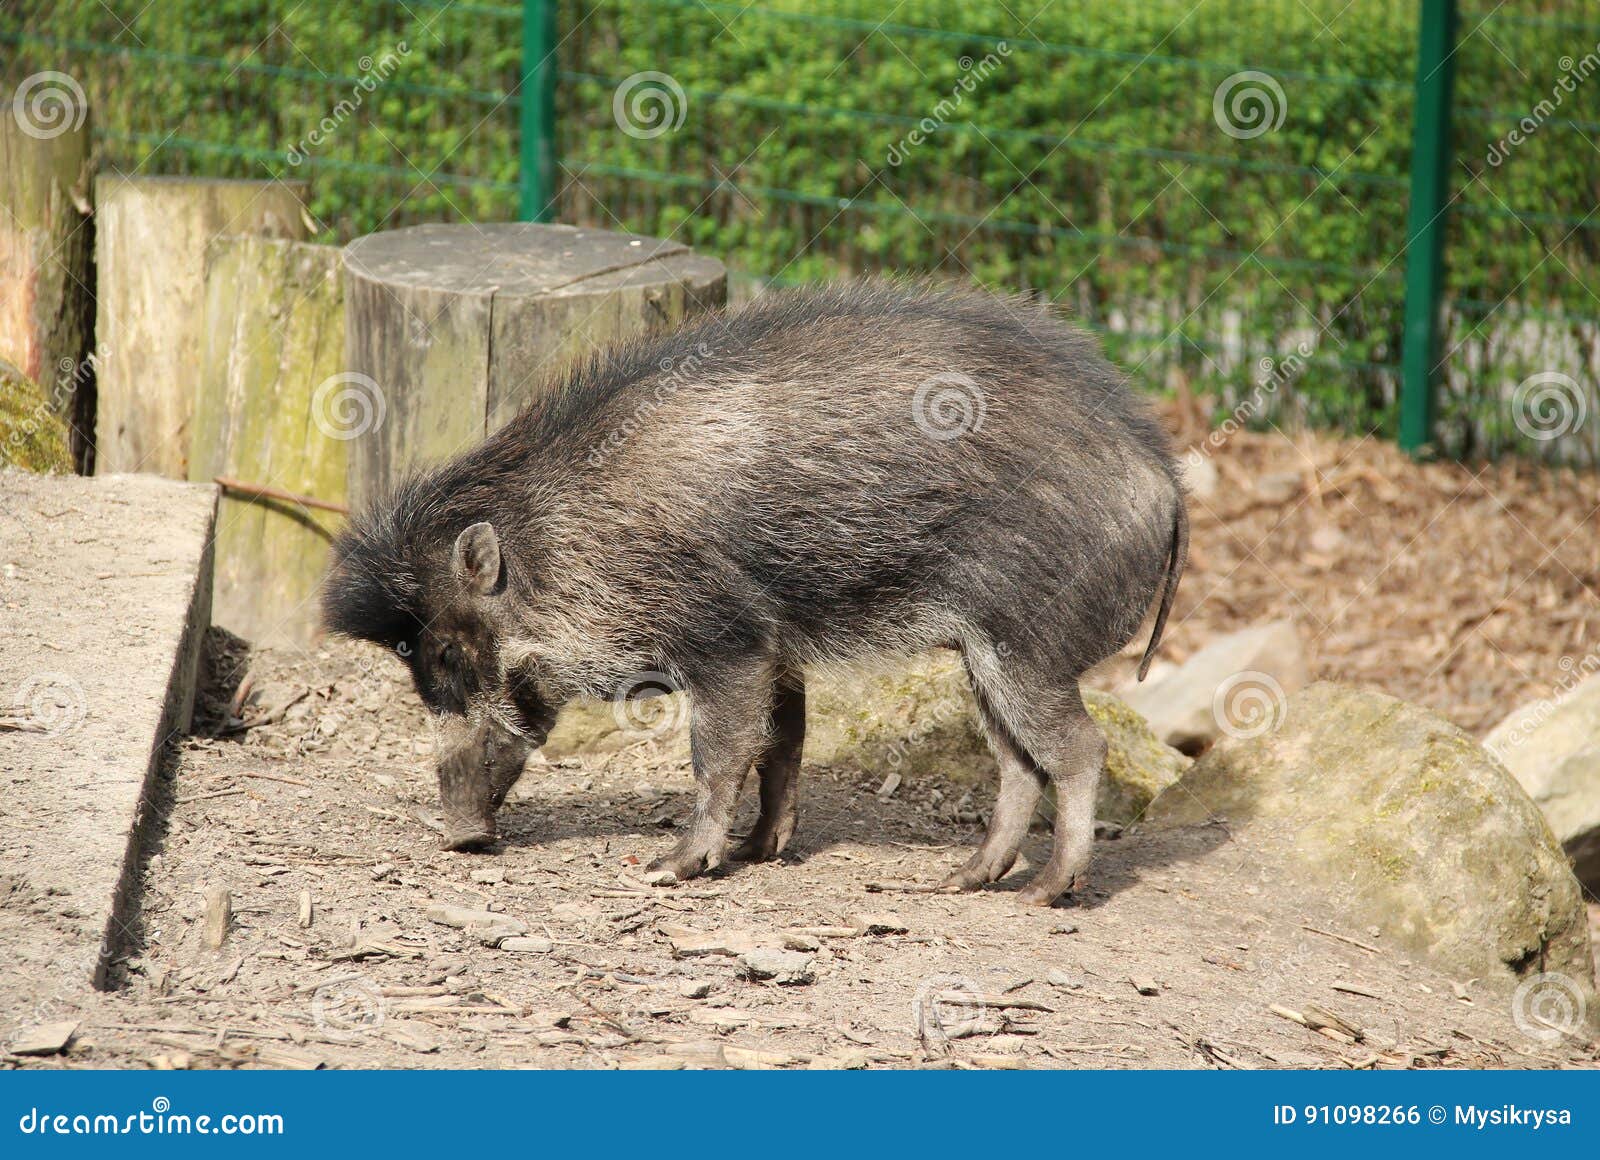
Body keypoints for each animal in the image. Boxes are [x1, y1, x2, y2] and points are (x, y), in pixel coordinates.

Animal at [321, 281, 1187, 905]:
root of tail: (1163, 476)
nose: (460, 836)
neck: (581, 538)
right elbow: (783, 743)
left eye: (446, 650)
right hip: (982, 657)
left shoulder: (726, 640)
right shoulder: (780, 650)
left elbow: (723, 751)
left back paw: (1048, 893)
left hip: (1026, 641)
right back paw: (959, 881)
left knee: (1077, 749)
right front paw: (757, 852)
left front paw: (673, 868)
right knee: (1017, 763)